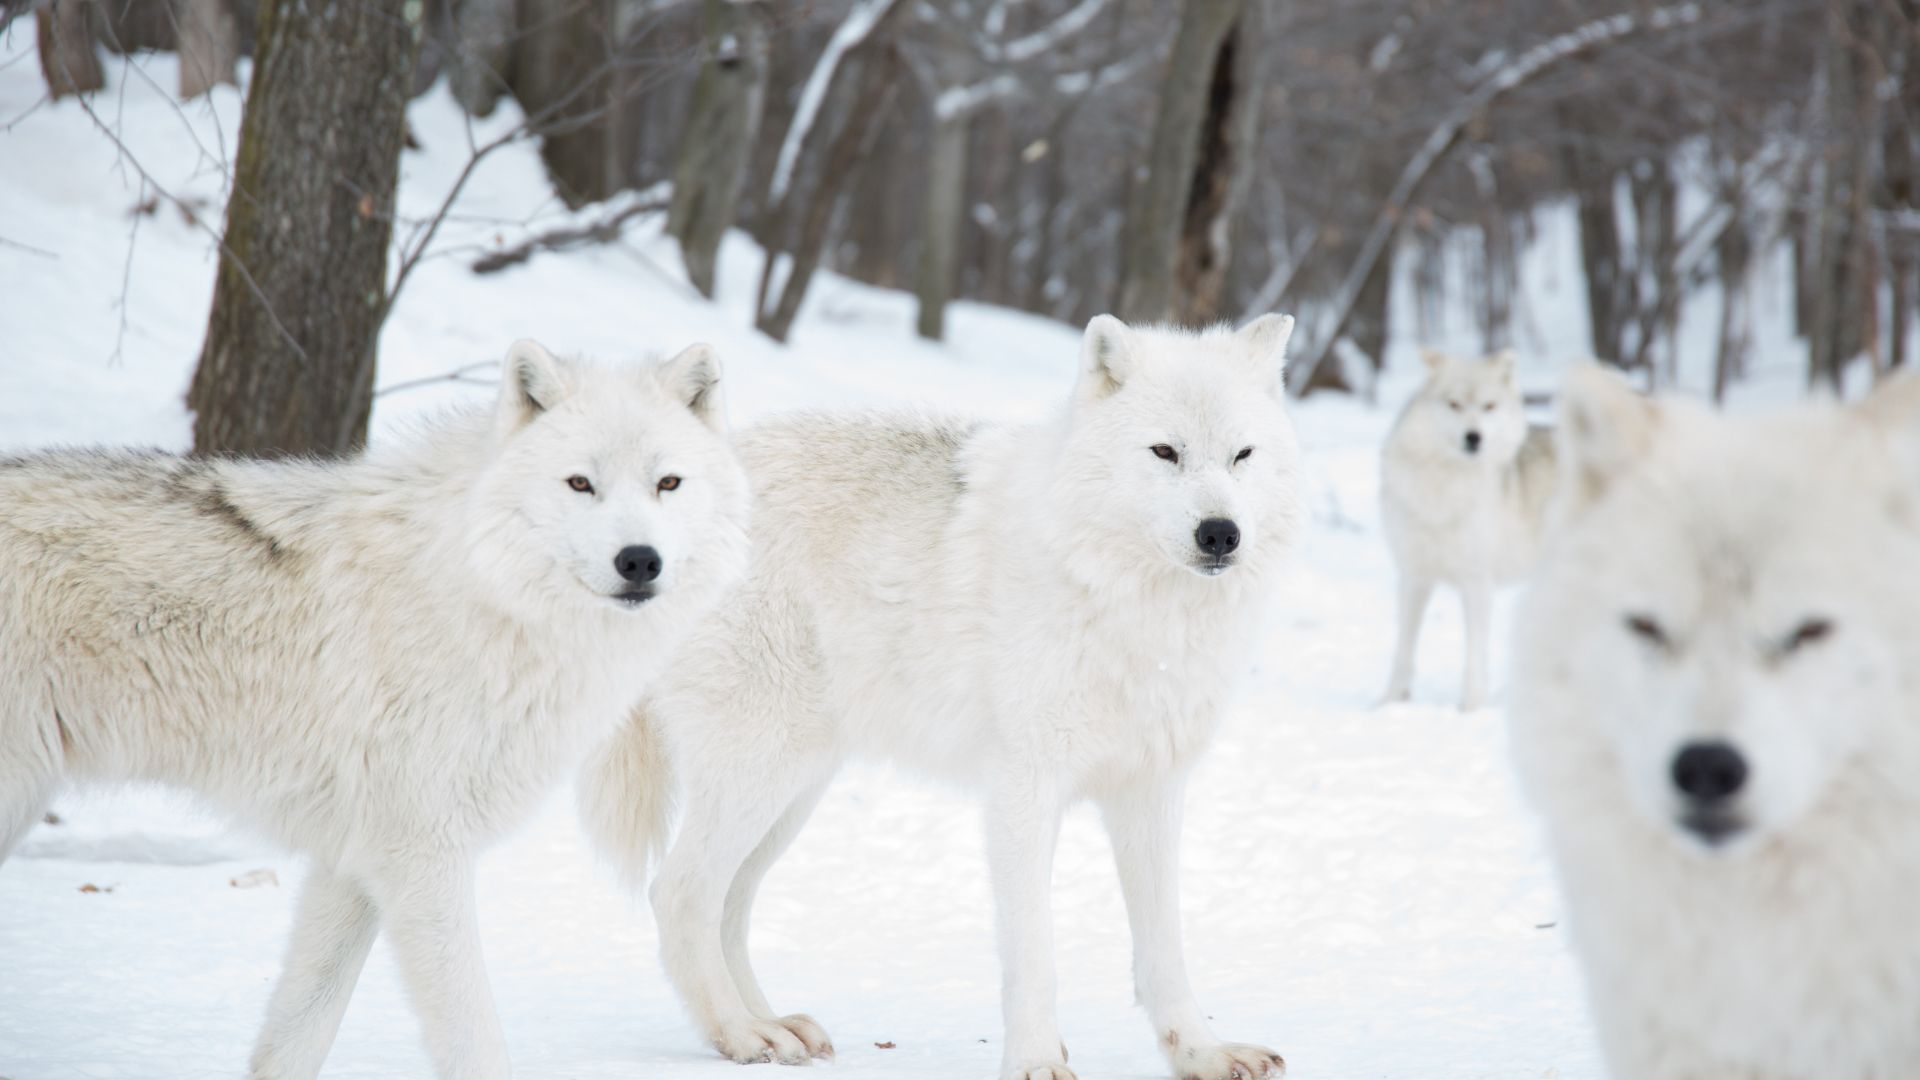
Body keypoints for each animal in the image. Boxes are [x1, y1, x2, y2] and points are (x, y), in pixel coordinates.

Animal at [0, 341, 751, 1080]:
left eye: (668, 484)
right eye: (579, 484)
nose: (640, 561)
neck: (483, 596)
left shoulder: (351, 862)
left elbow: (299, 1036)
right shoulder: (422, 854)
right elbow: (476, 1044)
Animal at [580, 315, 1303, 1080]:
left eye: (1242, 456)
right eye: (1165, 451)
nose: (1220, 533)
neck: (1135, 608)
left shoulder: (1153, 790)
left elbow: (1166, 950)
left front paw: (1201, 1053)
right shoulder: (1022, 788)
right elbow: (1034, 951)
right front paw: (1036, 1062)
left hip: (794, 789)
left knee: (729, 906)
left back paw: (772, 1023)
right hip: (762, 770)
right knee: (681, 894)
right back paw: (742, 1036)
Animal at [1378, 348, 1555, 710]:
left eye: (1489, 406)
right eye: (1454, 404)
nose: (1474, 437)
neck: (1444, 488)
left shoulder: (1477, 581)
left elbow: (1475, 653)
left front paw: (1471, 706)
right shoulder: (1414, 575)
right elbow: (1403, 649)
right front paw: (1390, 703)